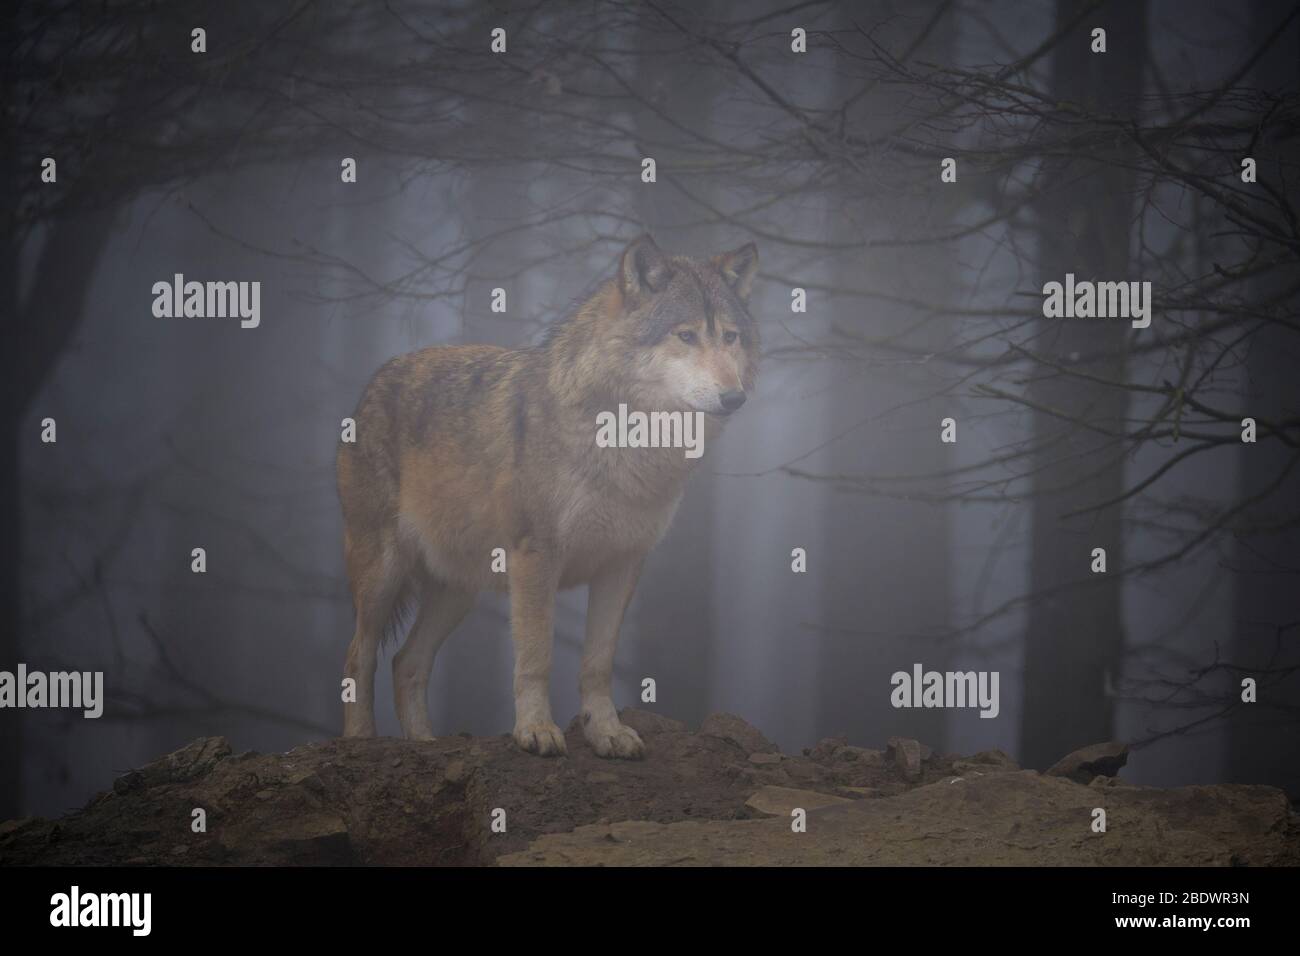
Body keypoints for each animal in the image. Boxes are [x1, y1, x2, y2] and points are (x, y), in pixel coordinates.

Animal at [337, 235, 760, 758]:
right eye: (685, 336)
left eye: (730, 337)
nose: (735, 398)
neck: (627, 443)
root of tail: (378, 377)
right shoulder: (537, 557)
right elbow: (536, 655)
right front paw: (536, 730)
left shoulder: (623, 563)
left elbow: (597, 663)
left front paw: (606, 732)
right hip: (382, 573)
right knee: (359, 657)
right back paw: (360, 741)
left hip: (458, 591)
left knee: (406, 662)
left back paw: (426, 743)